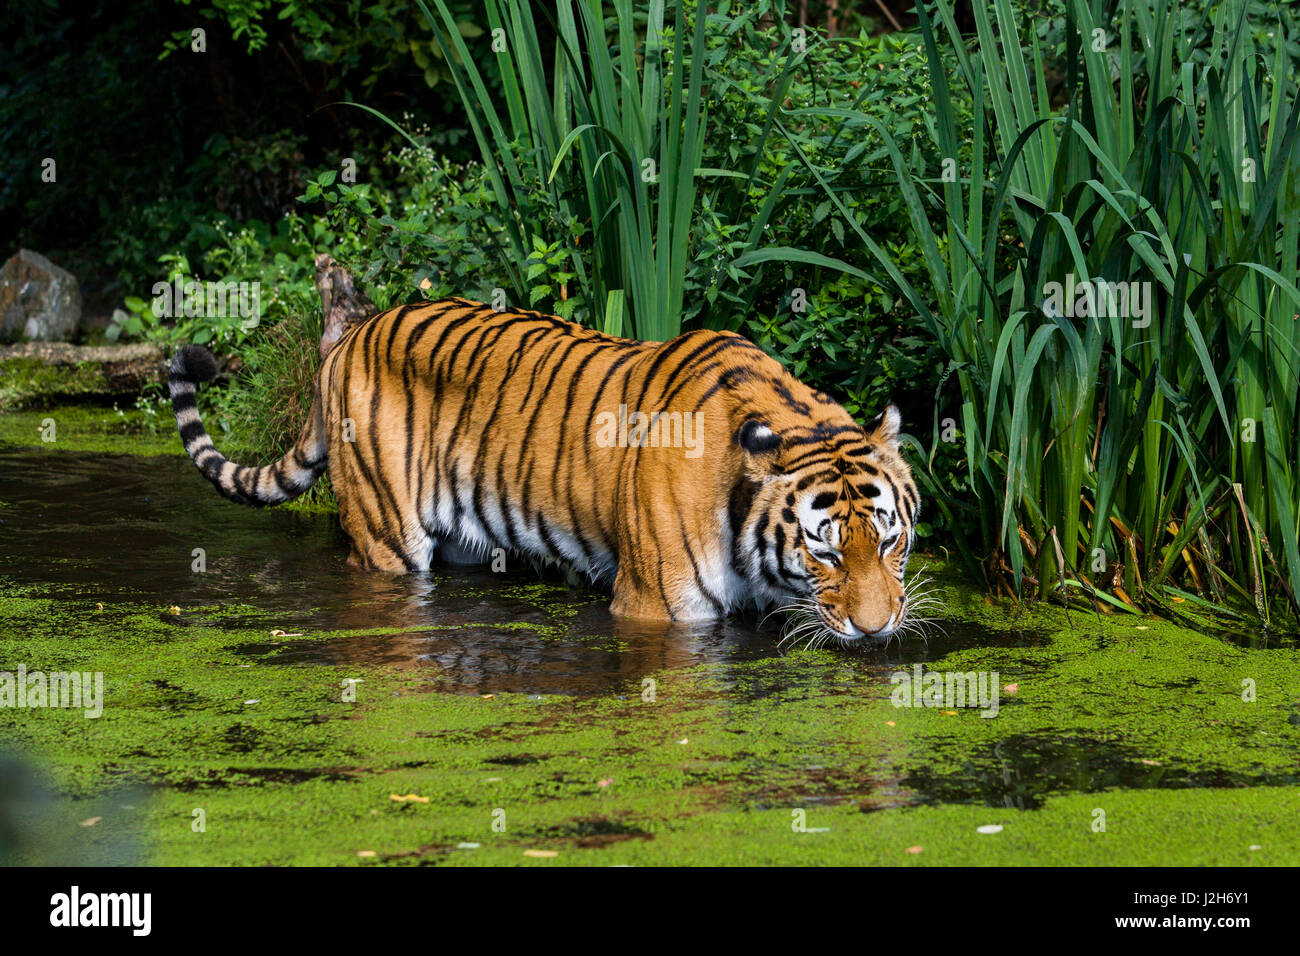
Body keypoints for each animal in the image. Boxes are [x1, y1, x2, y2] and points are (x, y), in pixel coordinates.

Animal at [168, 298, 922, 642]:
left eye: (890, 540)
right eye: (824, 552)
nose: (877, 629)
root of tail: (349, 336)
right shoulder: (656, 608)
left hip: (464, 544)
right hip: (387, 538)